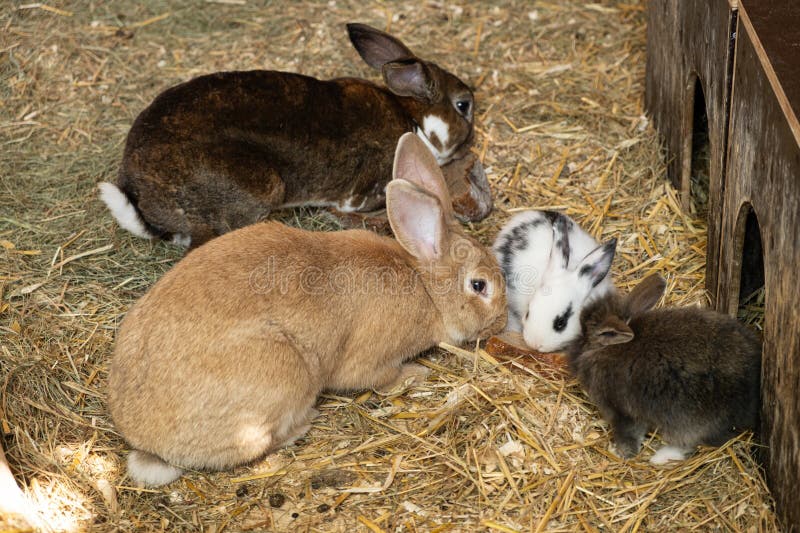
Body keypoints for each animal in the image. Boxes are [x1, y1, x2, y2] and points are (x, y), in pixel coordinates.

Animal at [106, 133, 507, 487]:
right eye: (479, 286)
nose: (500, 322)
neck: (424, 284)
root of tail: (146, 441)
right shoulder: (371, 358)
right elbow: (377, 378)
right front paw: (413, 375)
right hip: (284, 372)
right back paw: (304, 422)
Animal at [565, 273, 762, 465]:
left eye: (584, 334)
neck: (608, 348)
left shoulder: (620, 411)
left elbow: (629, 436)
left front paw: (620, 453)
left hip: (691, 423)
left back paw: (660, 457)